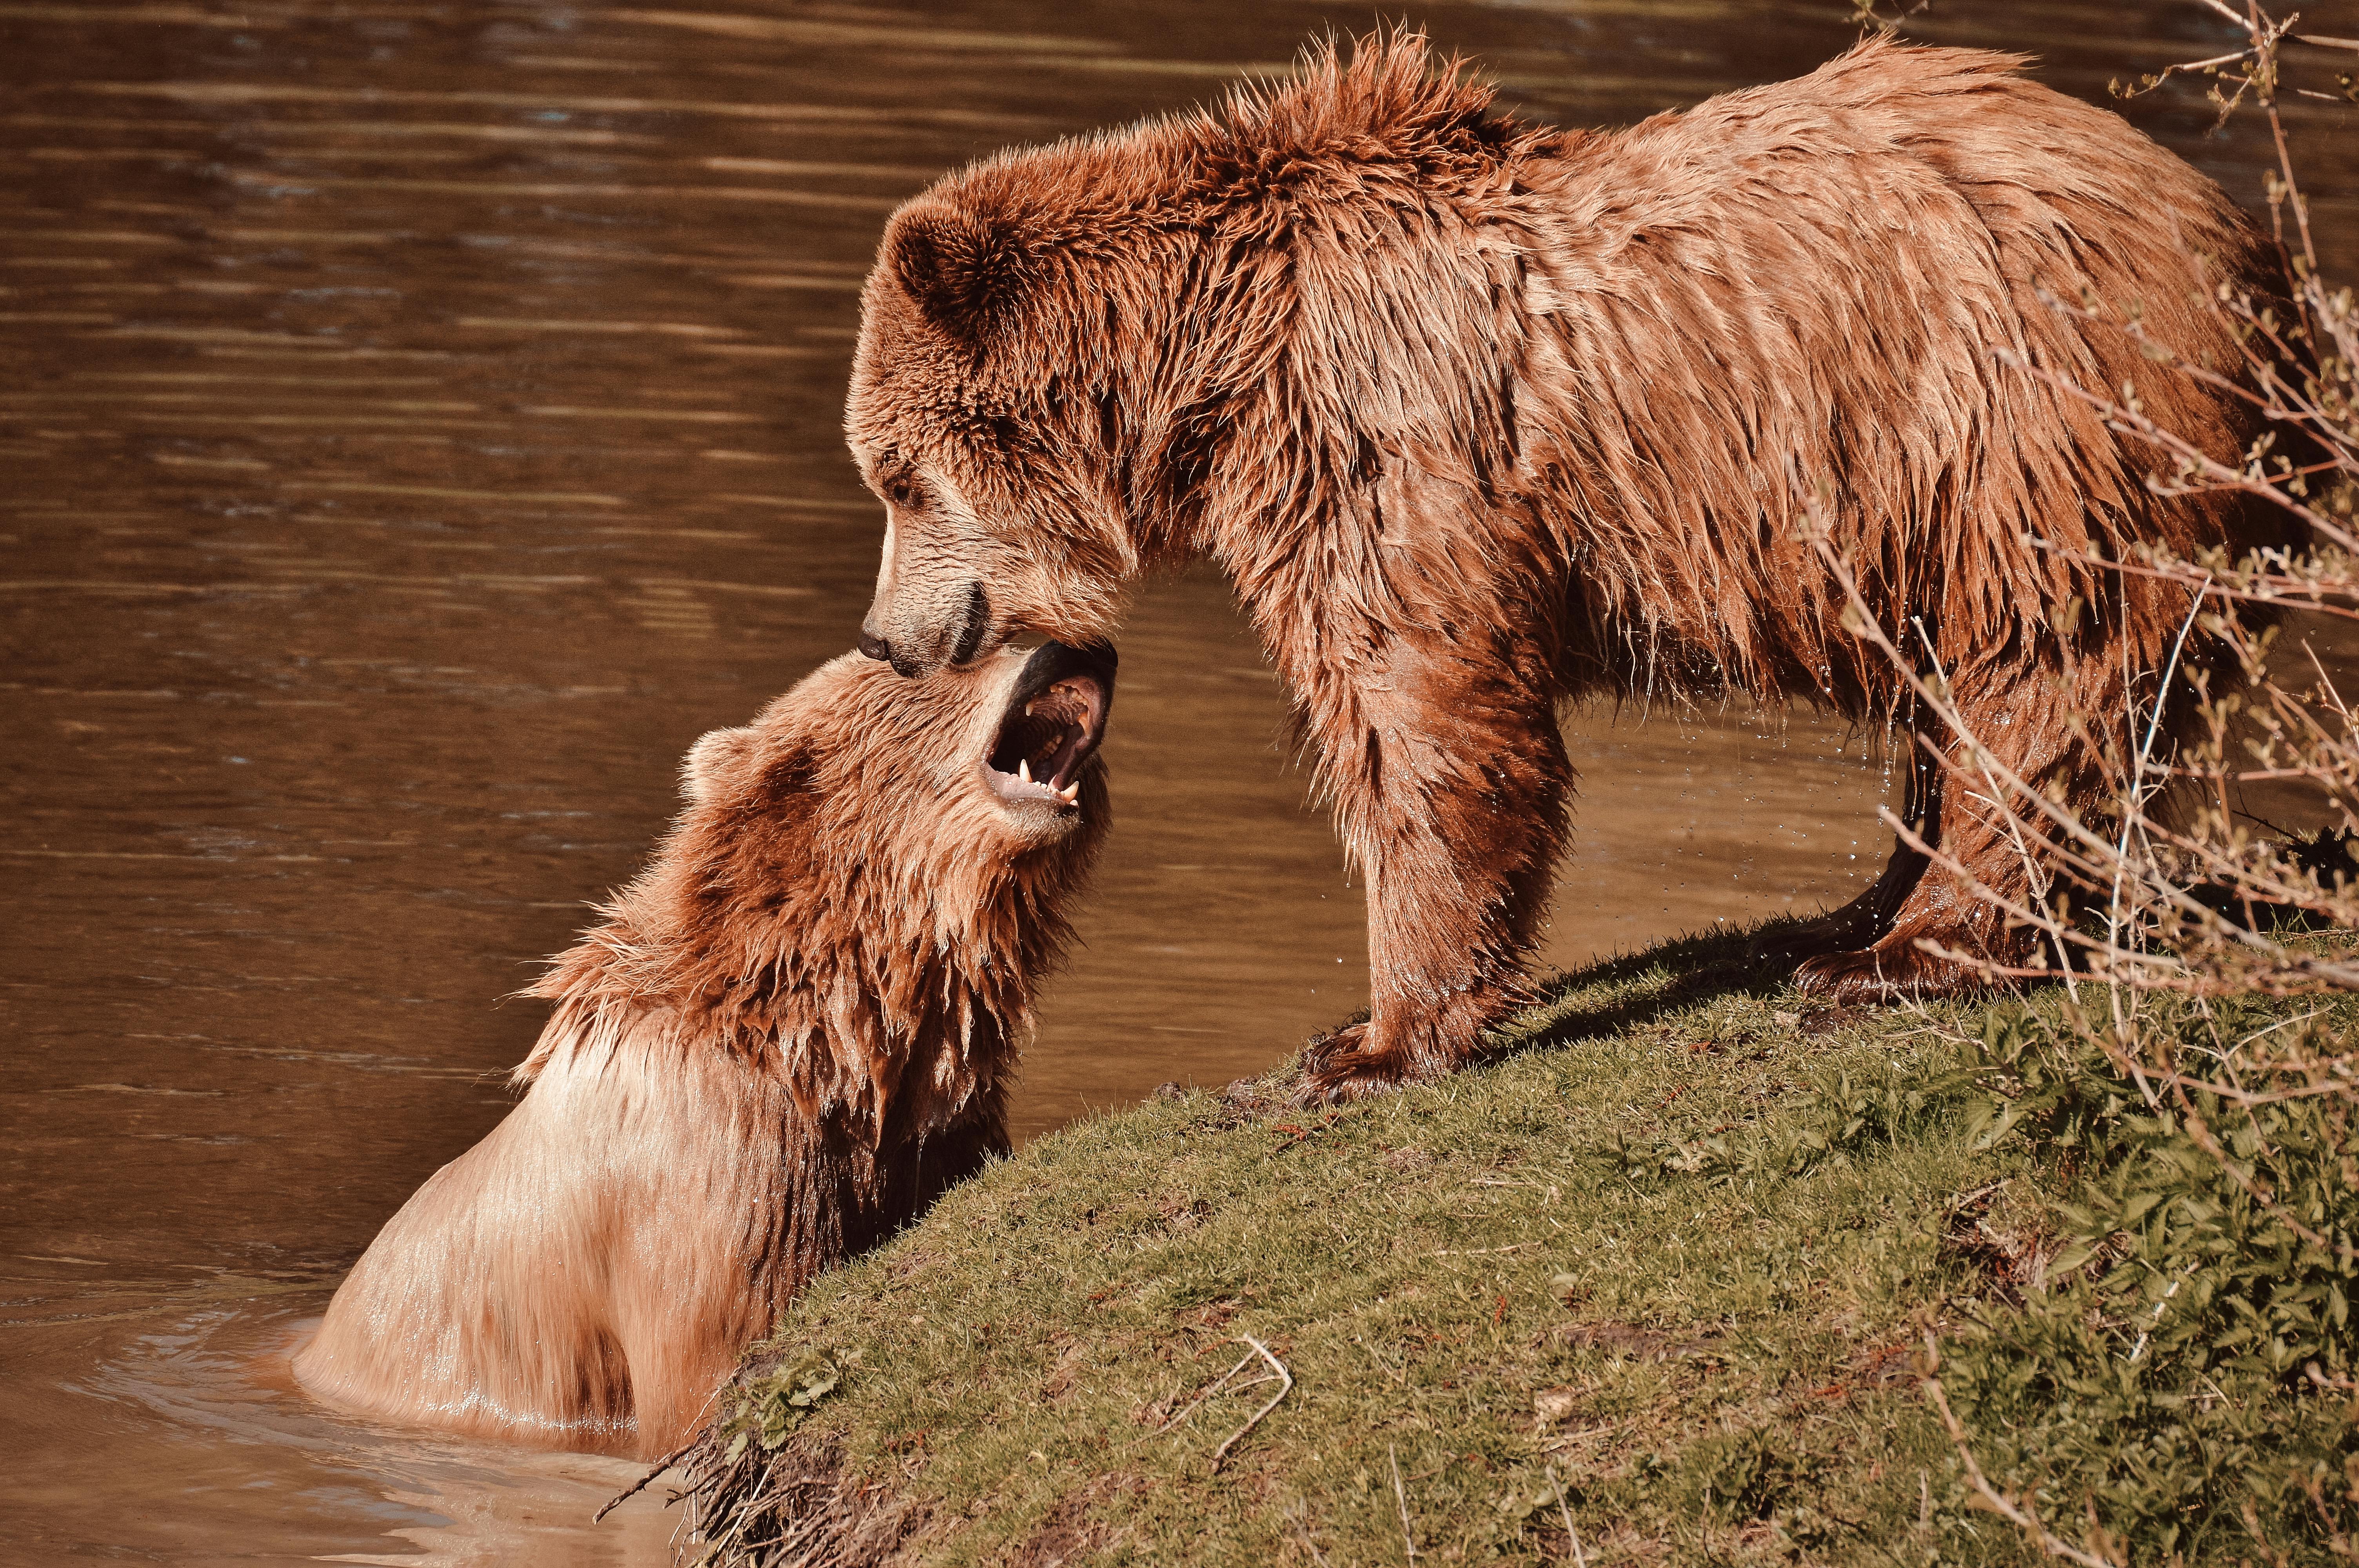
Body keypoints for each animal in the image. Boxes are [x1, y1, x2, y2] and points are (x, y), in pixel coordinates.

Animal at [292, 640, 1114, 1458]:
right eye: (951, 657)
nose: (1074, 648)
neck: (827, 1041)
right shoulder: (716, 1176)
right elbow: (717, 1369)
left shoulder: (933, 1138)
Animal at [841, 34, 2291, 1100]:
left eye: (894, 476)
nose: (884, 637)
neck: (1220, 362)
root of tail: (2238, 244)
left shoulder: (1384, 451)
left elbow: (1420, 716)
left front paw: (1372, 1041)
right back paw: (1842, 913)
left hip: (2017, 429)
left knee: (2042, 674)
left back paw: (1912, 950)